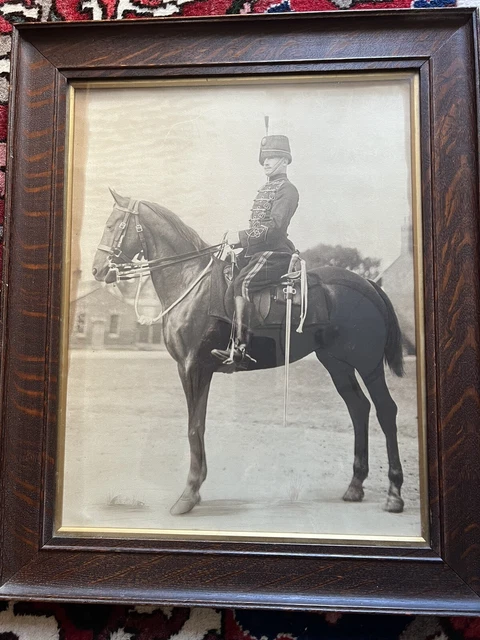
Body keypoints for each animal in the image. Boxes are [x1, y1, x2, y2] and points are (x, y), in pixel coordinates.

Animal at [92, 189, 406, 516]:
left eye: (113, 225)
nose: (97, 269)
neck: (191, 281)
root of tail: (367, 284)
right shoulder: (195, 369)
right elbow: (199, 424)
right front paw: (196, 488)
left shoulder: (192, 367)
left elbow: (193, 427)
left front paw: (188, 495)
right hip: (337, 363)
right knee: (359, 408)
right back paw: (355, 486)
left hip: (368, 364)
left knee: (385, 410)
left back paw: (394, 494)